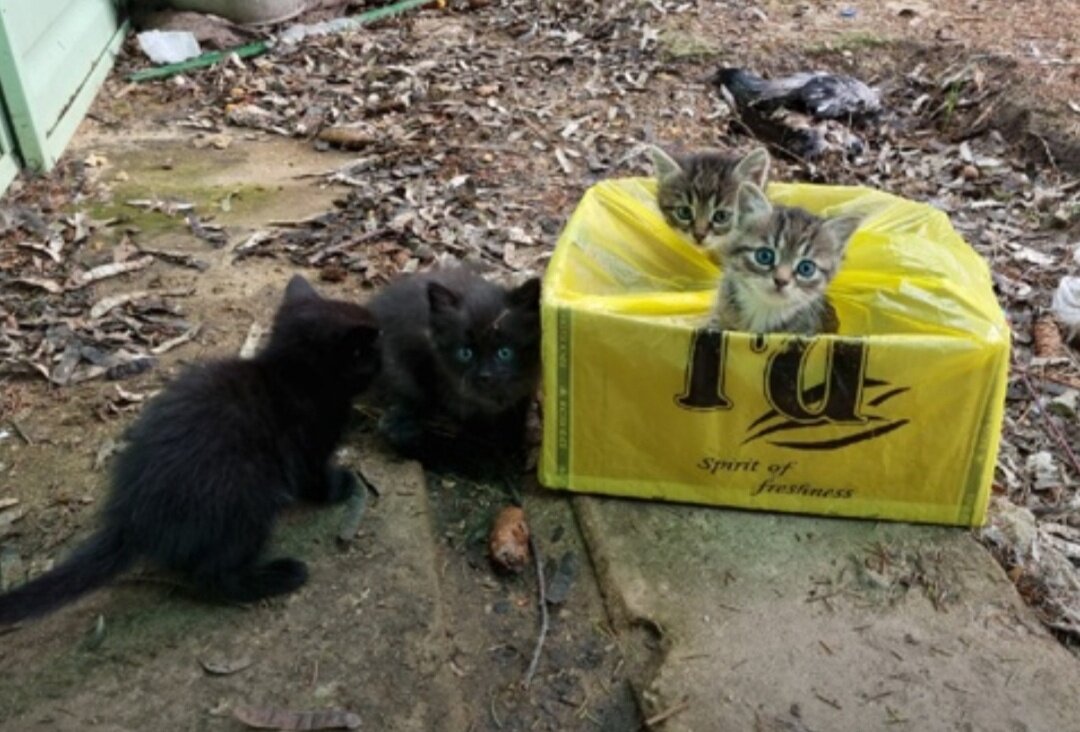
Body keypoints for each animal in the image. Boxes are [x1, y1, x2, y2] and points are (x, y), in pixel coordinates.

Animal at [0, 275, 380, 626]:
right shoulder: (306, 449)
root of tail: (133, 516)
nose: (385, 359)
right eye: (372, 353)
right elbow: (314, 479)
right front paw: (341, 486)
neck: (291, 376)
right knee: (215, 576)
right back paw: (279, 576)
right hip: (246, 495)